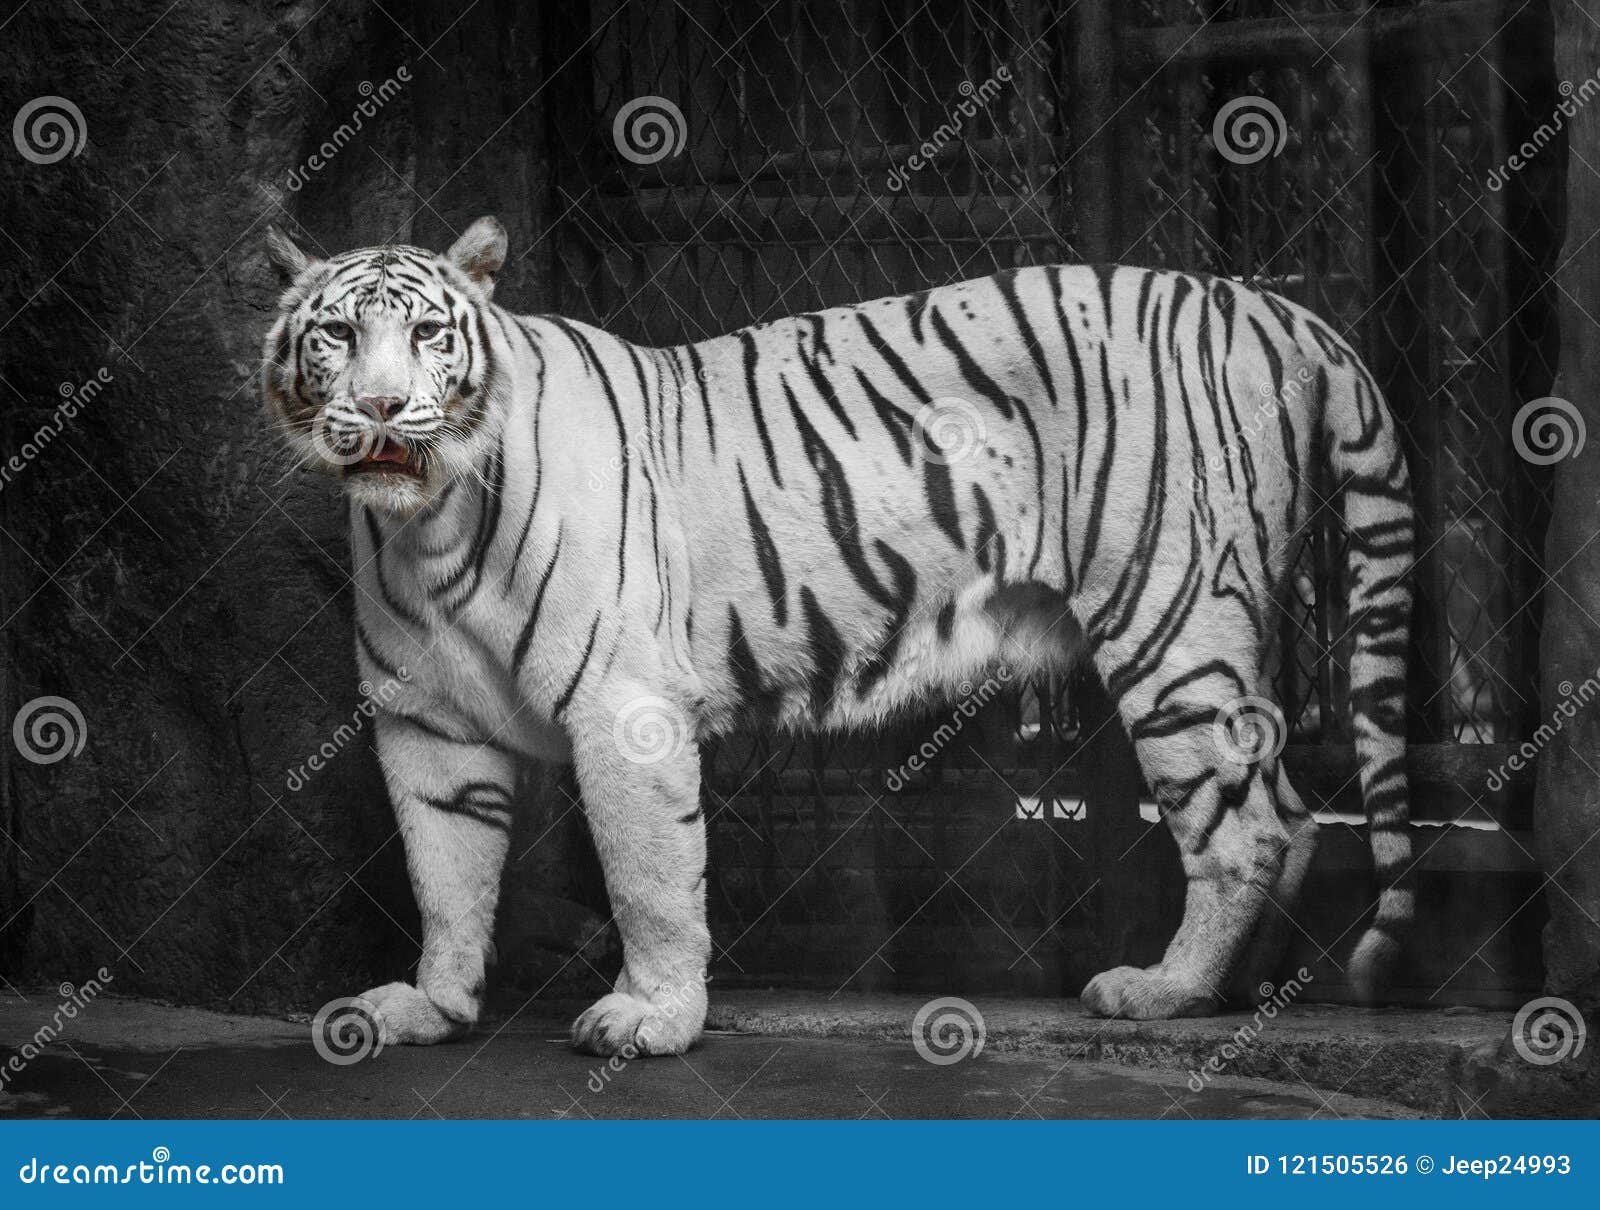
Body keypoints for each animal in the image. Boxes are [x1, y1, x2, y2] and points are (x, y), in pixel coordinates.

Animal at [261, 215, 1415, 1057]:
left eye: (427, 336)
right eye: (335, 337)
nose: (380, 407)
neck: (426, 525)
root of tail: (1260, 300)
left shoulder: (623, 703)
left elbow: (647, 876)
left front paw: (653, 1017)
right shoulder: (426, 724)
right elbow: (446, 875)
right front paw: (432, 1005)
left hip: (1170, 618)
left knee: (1245, 825)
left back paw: (1168, 989)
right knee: (1290, 811)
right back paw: (1242, 988)